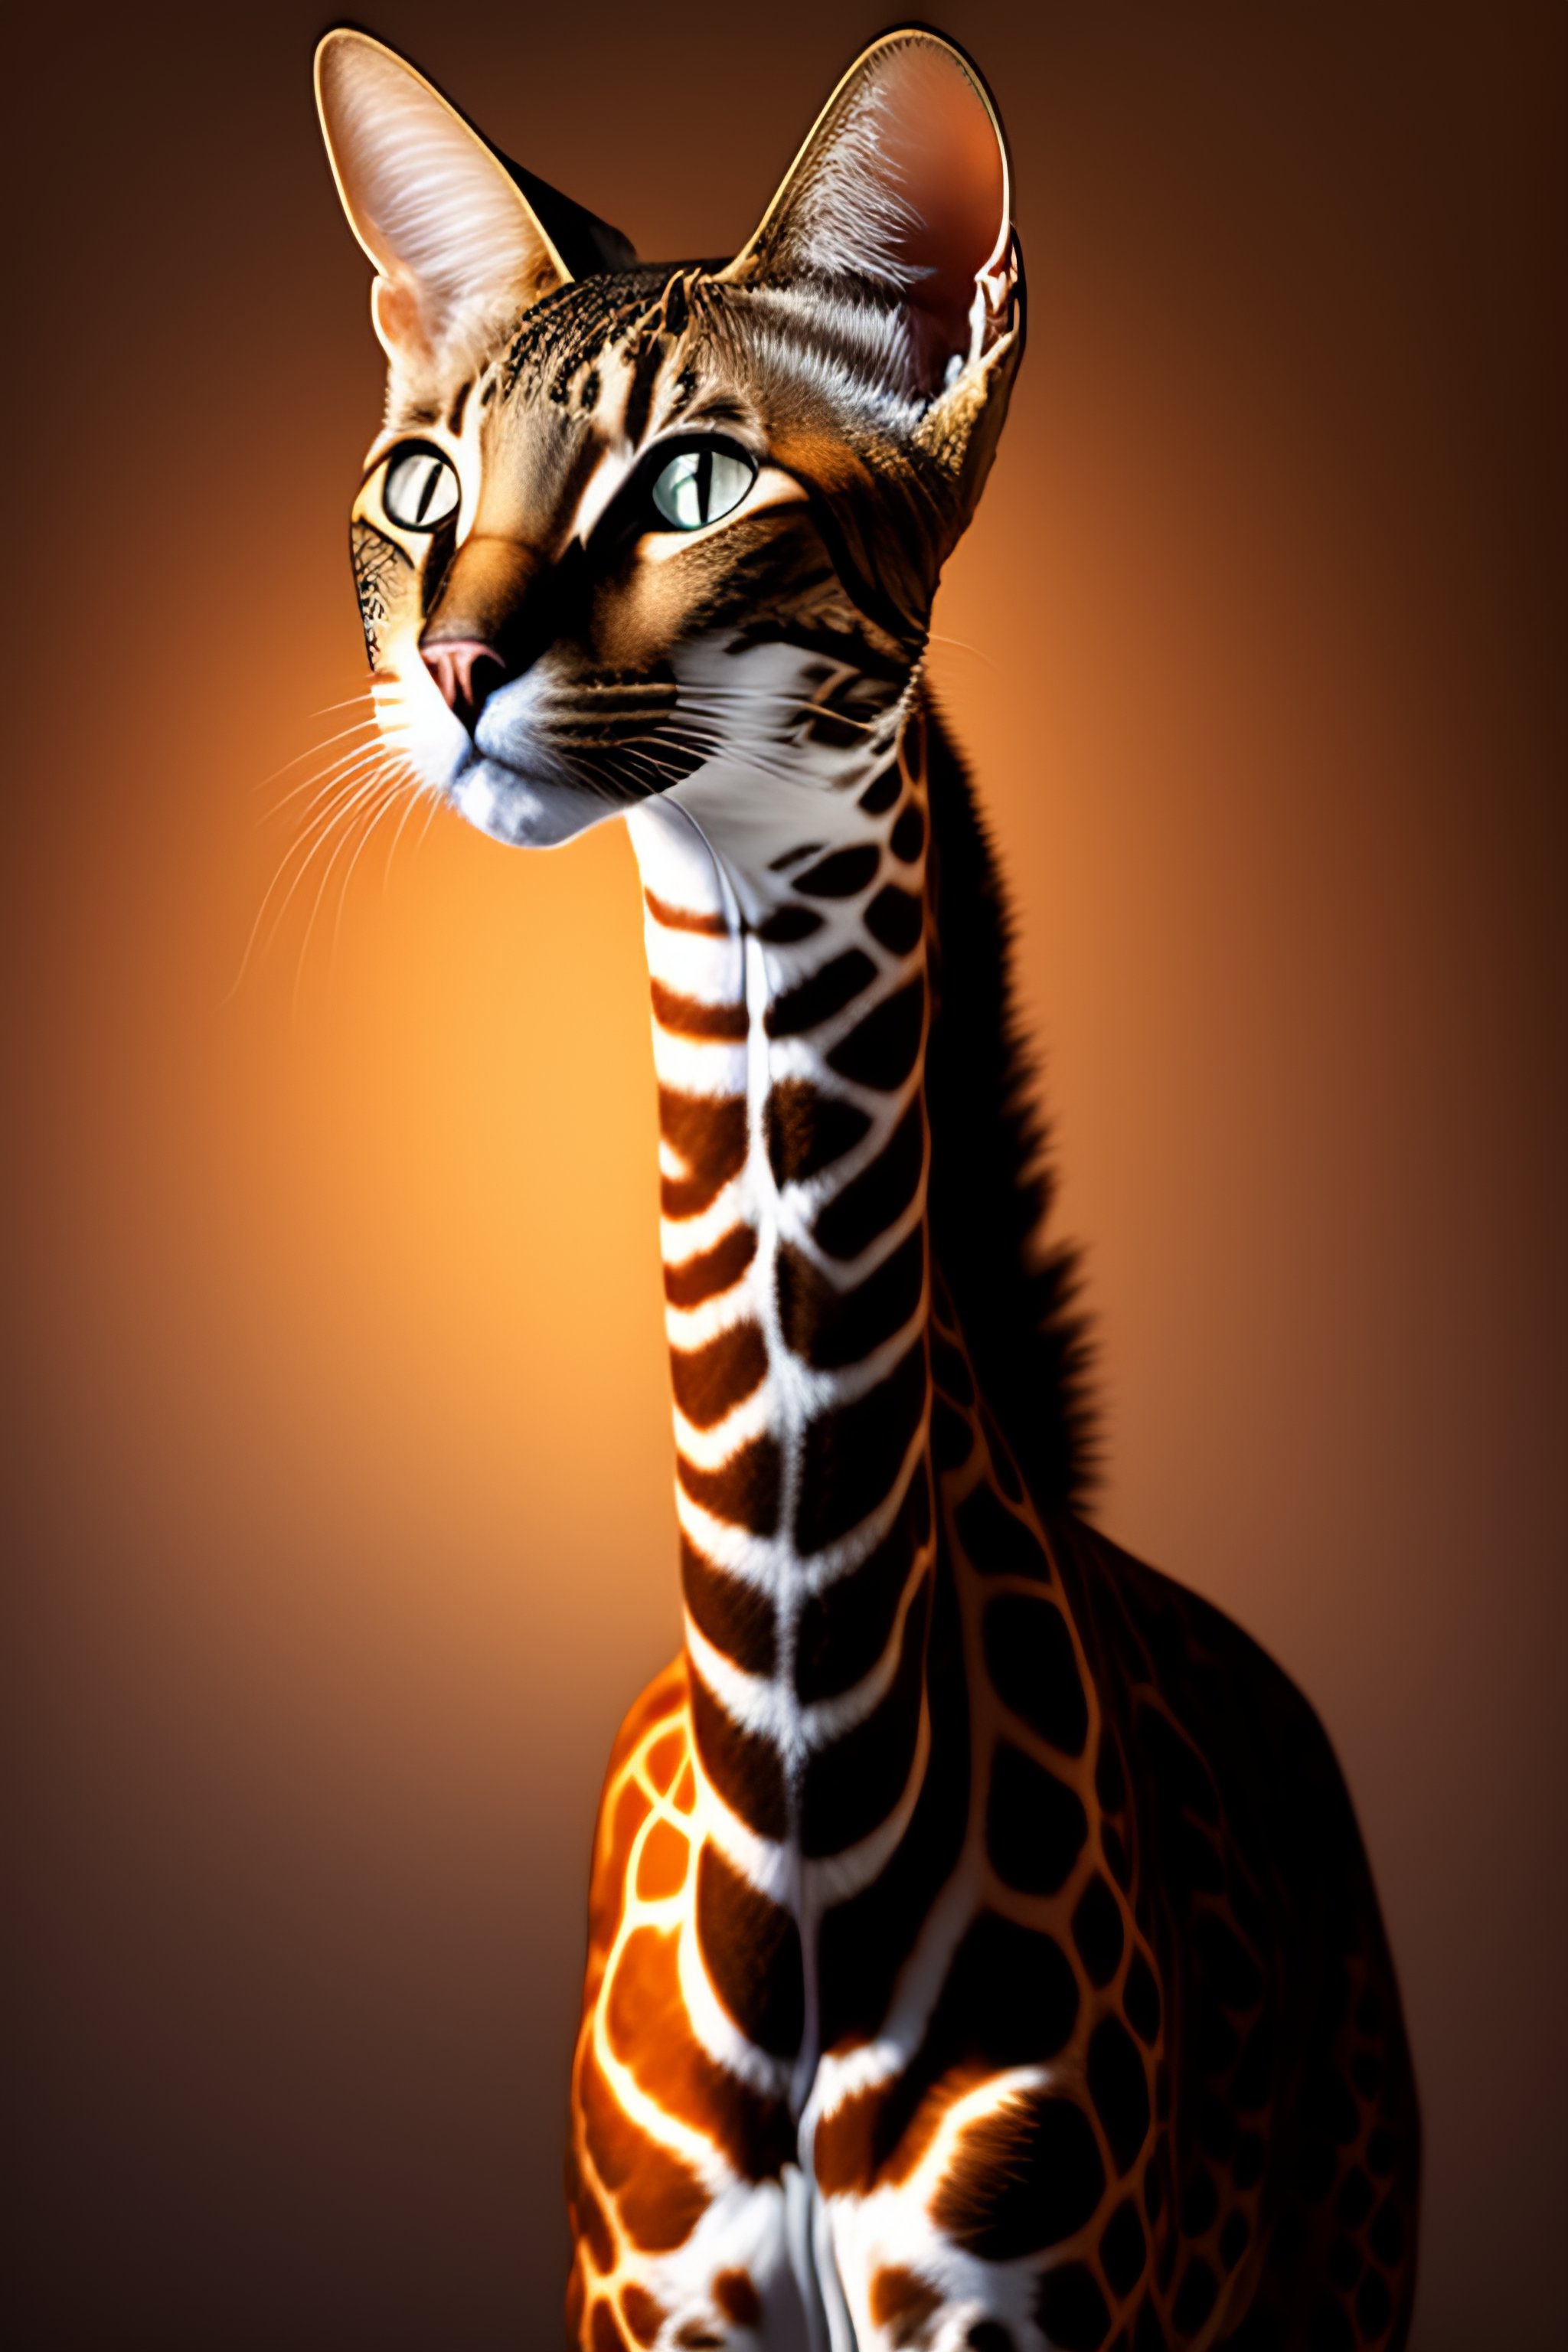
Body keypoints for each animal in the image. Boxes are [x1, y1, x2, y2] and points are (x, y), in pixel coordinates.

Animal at [311, 26, 1421, 2351]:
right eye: (420, 488)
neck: (806, 1811)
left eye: (692, 487)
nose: (453, 675)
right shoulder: (645, 2299)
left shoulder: (1044, 2293)